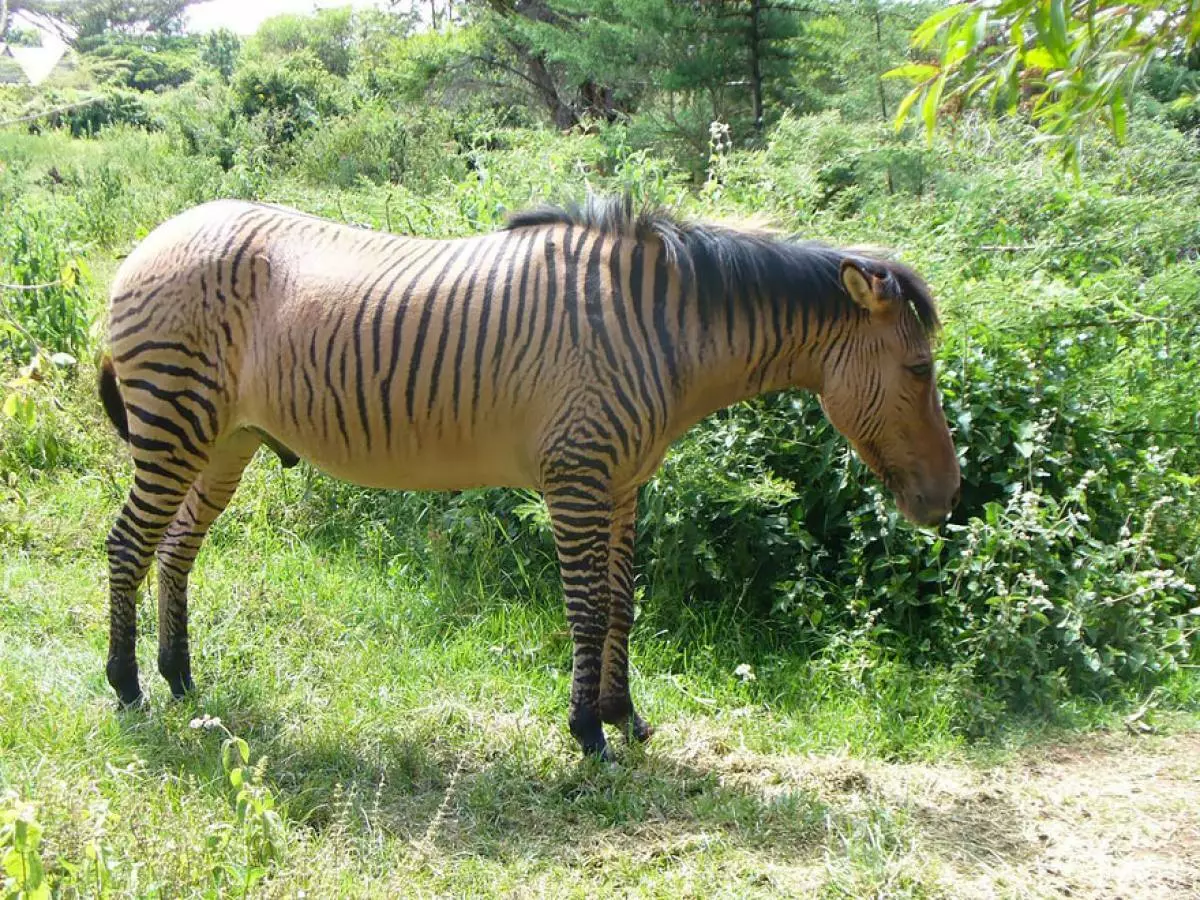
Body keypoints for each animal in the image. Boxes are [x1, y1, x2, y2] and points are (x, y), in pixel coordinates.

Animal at [100, 196, 964, 763]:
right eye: (921, 370)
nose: (949, 501)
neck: (664, 334)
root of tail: (151, 238)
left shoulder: (625, 482)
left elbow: (622, 603)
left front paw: (625, 717)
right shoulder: (576, 475)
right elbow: (586, 608)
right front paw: (588, 734)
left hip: (227, 439)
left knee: (176, 548)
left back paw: (180, 678)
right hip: (174, 421)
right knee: (127, 545)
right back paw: (128, 687)